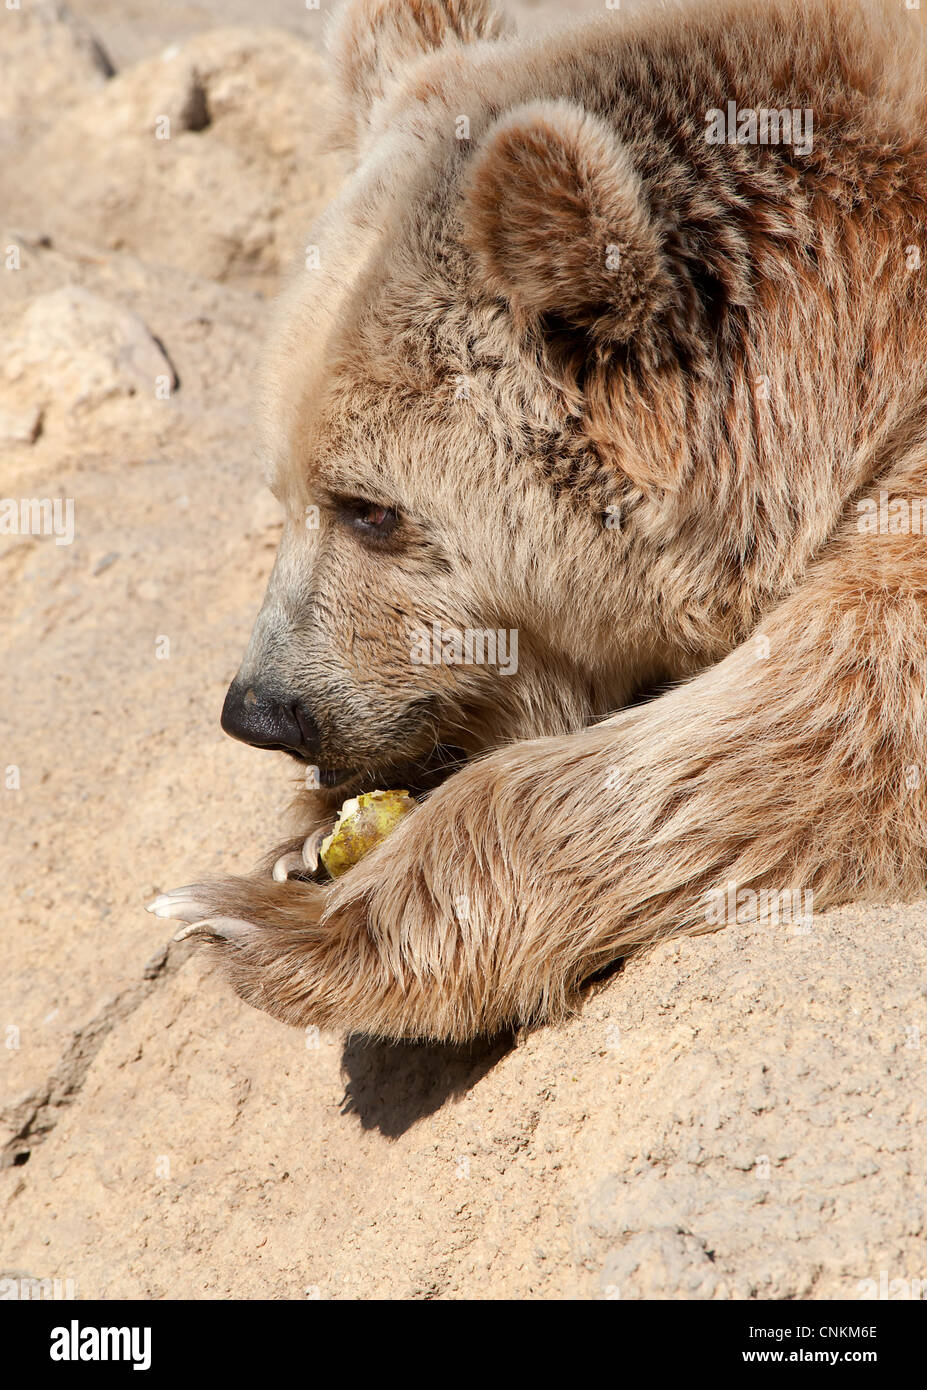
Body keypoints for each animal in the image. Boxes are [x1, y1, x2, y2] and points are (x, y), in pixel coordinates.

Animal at [150, 0, 927, 1042]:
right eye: (283, 492)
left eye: (369, 510)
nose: (262, 711)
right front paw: (308, 839)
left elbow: (826, 720)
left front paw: (268, 919)